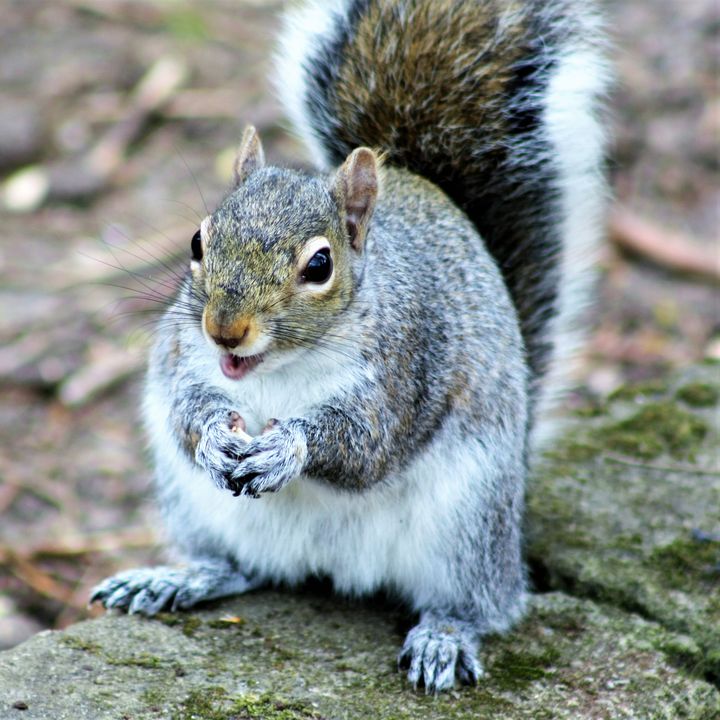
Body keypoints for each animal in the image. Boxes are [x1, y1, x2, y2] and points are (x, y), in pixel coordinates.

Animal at [91, 0, 608, 694]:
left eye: (319, 265)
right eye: (198, 242)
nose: (224, 329)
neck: (278, 371)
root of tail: (333, 566)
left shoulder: (407, 363)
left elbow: (367, 443)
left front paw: (288, 446)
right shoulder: (182, 353)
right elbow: (183, 410)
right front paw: (216, 433)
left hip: (466, 524)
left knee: (482, 603)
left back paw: (445, 635)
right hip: (197, 507)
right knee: (236, 567)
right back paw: (177, 578)